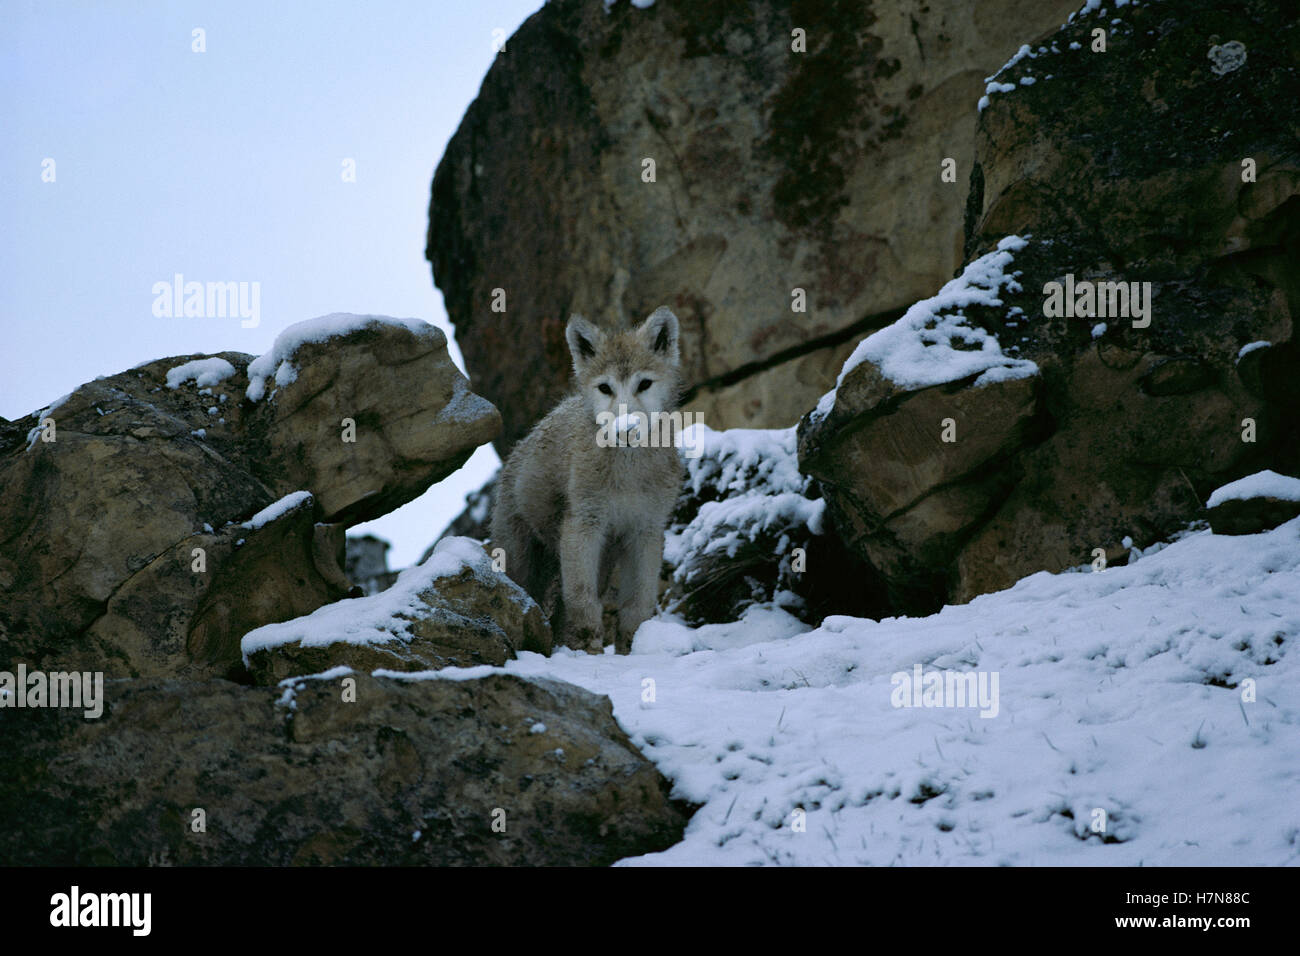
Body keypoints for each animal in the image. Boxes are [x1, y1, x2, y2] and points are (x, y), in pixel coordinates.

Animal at [492, 306, 684, 654]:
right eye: (605, 388)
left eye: (645, 384)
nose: (625, 430)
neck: (628, 473)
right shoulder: (582, 526)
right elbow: (583, 603)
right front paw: (588, 649)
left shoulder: (645, 532)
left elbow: (636, 607)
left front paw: (631, 651)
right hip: (522, 557)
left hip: (599, 560)